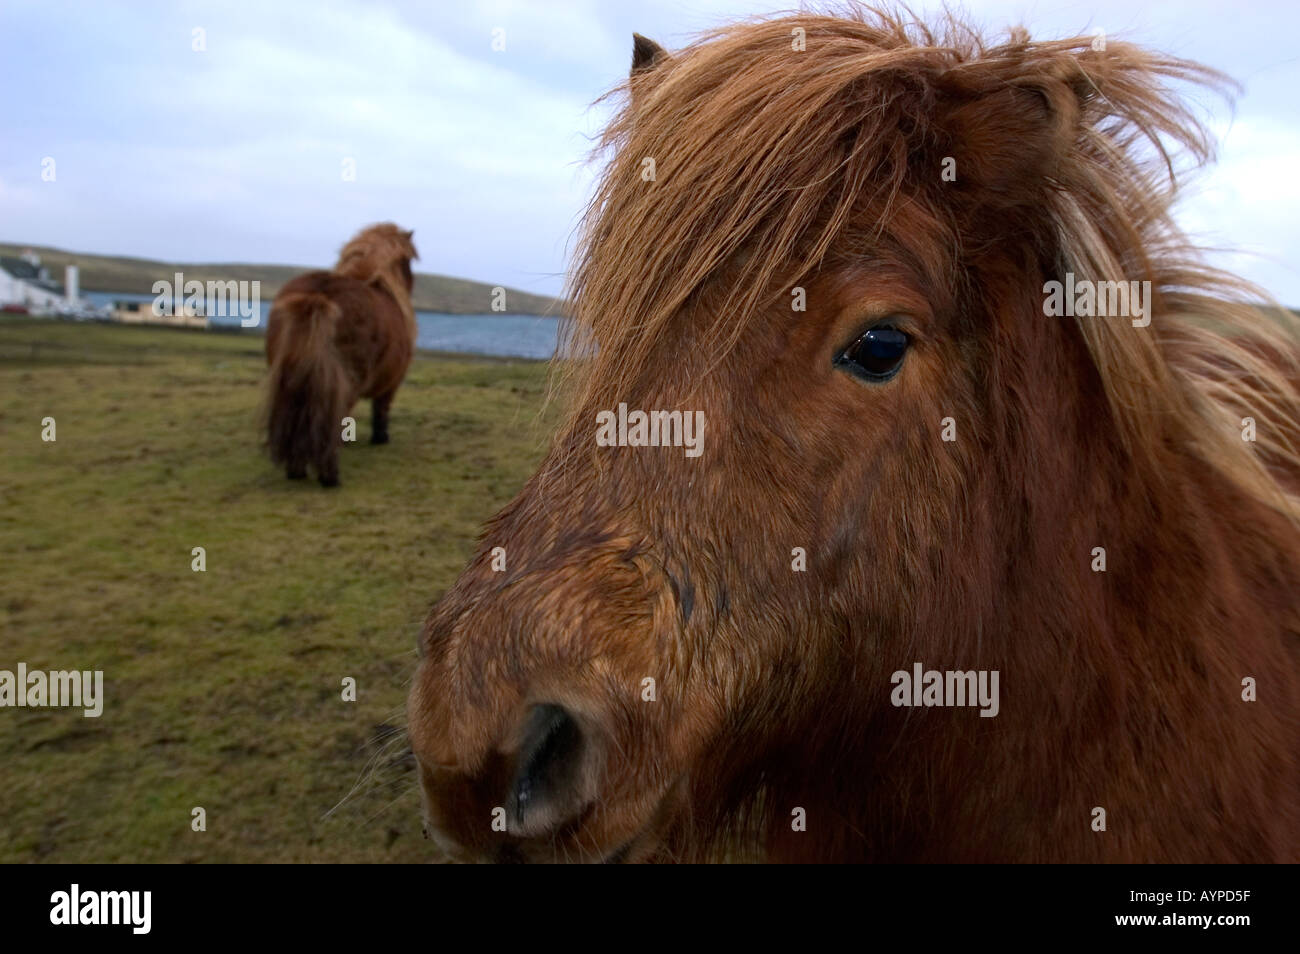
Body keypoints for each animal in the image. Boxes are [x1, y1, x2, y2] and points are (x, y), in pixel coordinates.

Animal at [264, 223, 418, 486]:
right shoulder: (391, 384)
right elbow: (381, 410)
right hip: (345, 385)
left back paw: (296, 471)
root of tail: (318, 295)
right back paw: (330, 477)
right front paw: (380, 438)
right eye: (407, 261)